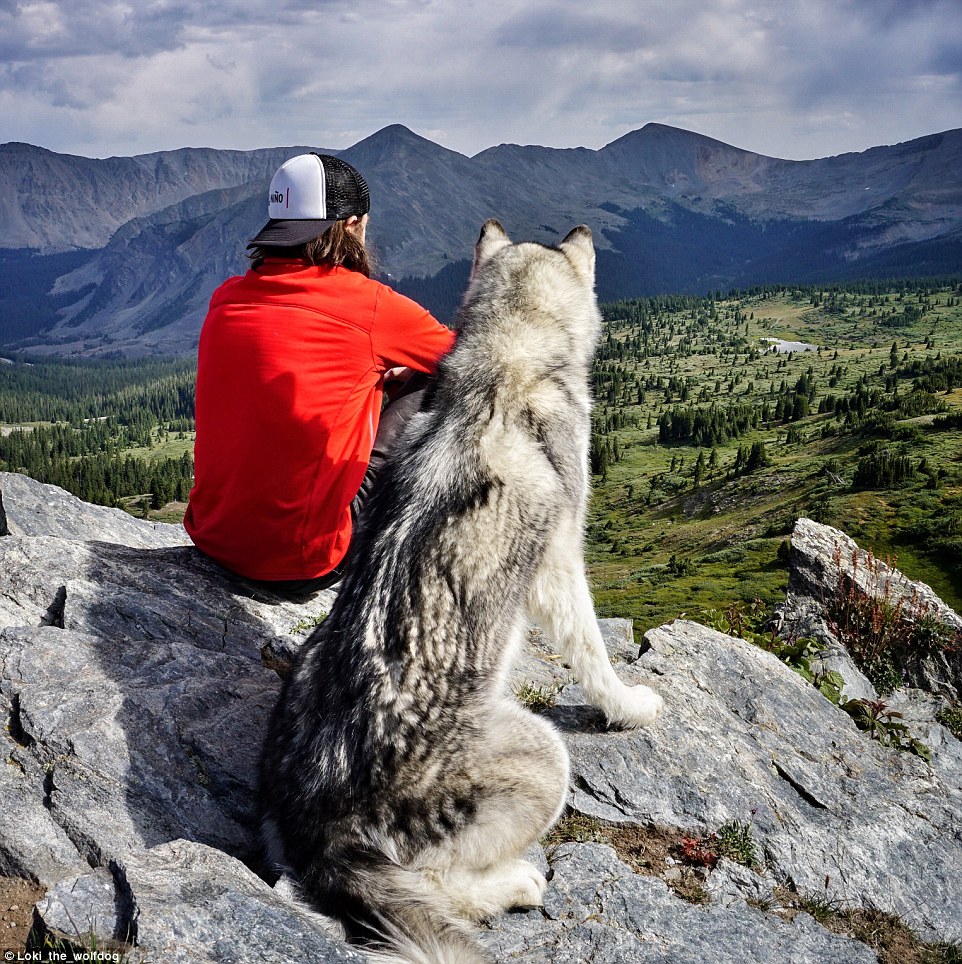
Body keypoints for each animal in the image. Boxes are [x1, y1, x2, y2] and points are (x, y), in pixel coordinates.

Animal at [258, 220, 664, 962]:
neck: (507, 360)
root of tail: (327, 830)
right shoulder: (561, 559)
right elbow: (593, 651)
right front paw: (627, 705)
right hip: (545, 756)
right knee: (441, 888)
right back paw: (515, 885)